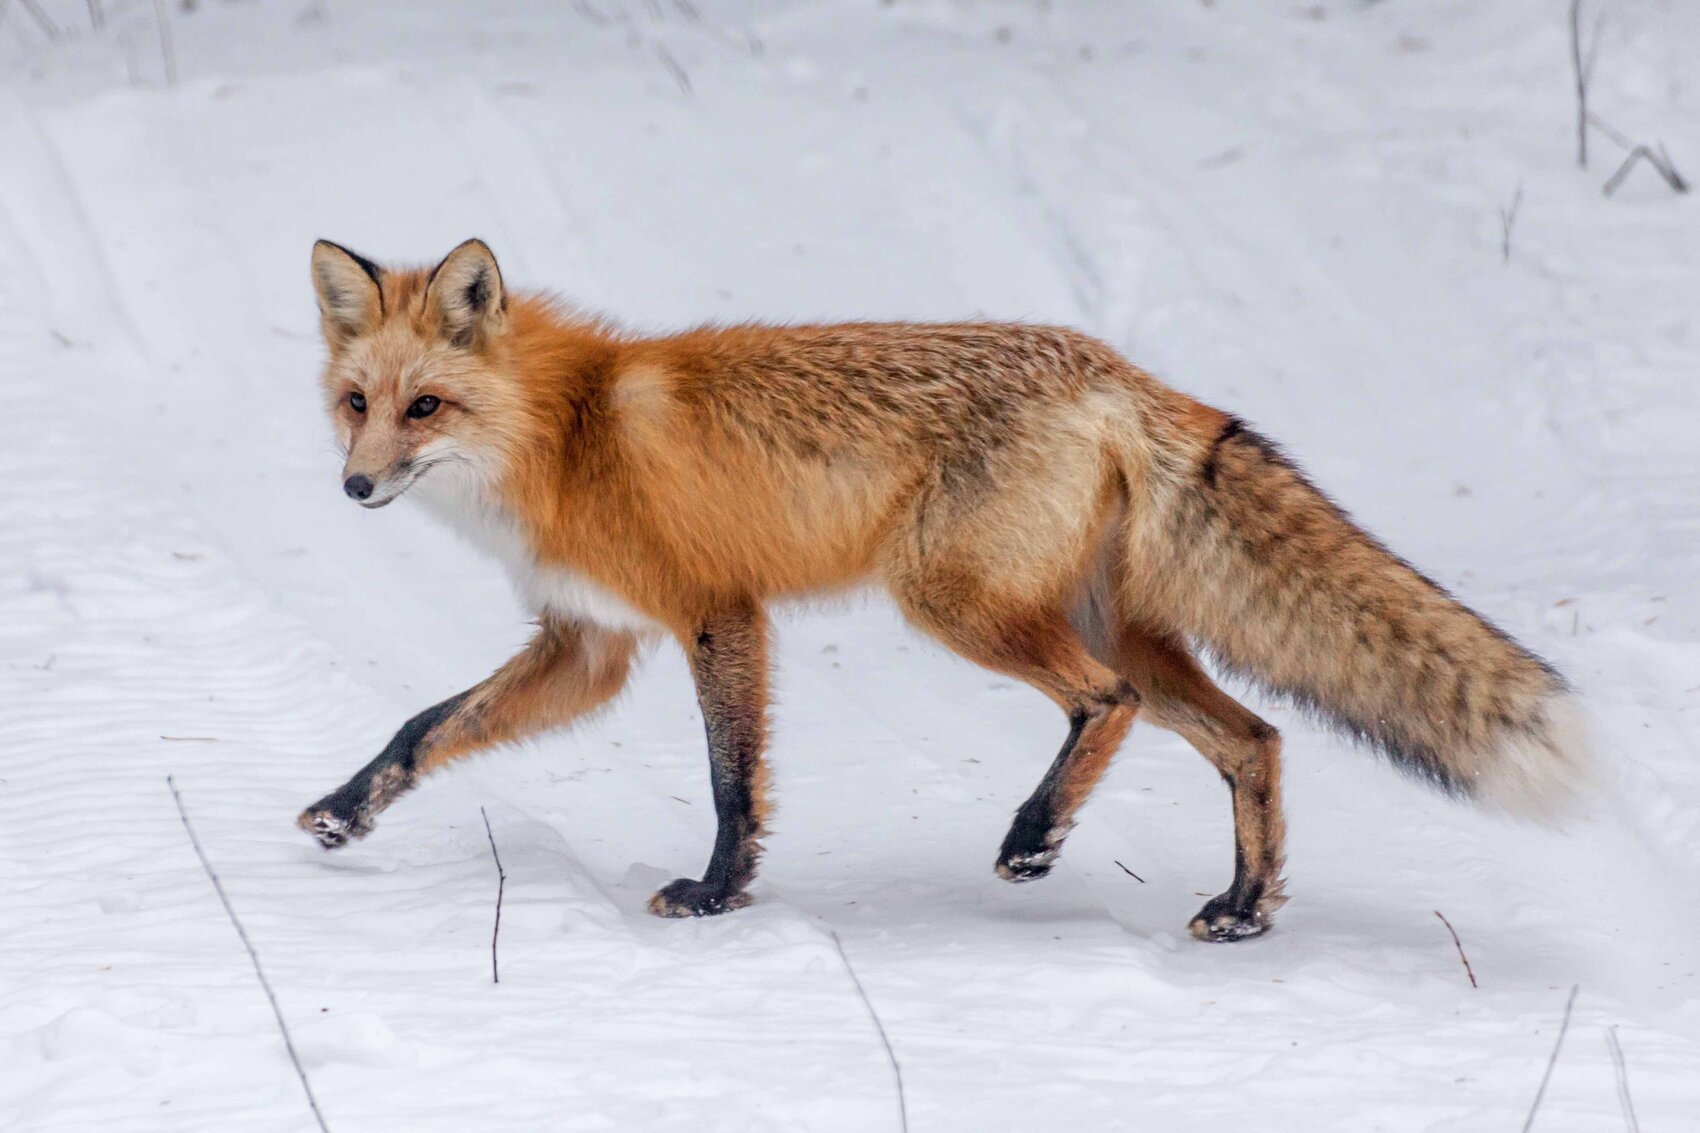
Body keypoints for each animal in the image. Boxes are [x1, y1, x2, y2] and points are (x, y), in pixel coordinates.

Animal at [298, 237, 1589, 940]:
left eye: (426, 407)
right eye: (357, 402)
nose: (352, 487)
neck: (564, 434)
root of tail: (1118, 370)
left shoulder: (717, 612)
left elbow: (730, 782)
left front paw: (716, 895)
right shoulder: (588, 645)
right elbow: (424, 725)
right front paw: (348, 809)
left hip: (954, 599)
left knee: (1107, 700)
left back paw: (1034, 836)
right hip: (1113, 626)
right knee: (1254, 736)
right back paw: (1241, 907)